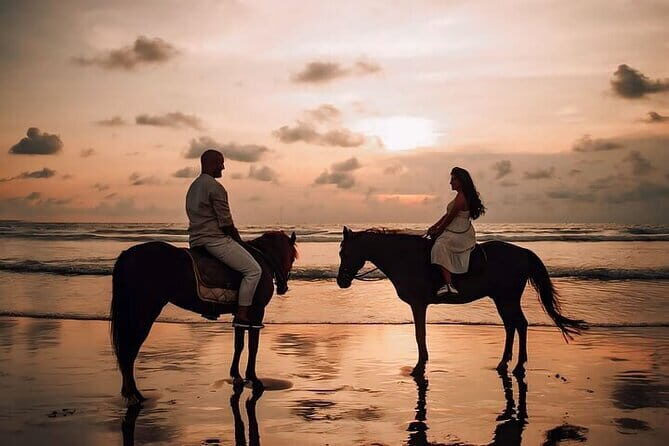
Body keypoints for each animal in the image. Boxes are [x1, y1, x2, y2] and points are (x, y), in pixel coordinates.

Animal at [110, 231, 298, 405]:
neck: (262, 260)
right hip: (144, 313)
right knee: (129, 351)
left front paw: (236, 375)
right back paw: (135, 395)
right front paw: (254, 379)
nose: (283, 288)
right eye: (292, 257)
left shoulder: (240, 316)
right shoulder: (257, 313)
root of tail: (128, 254)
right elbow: (253, 346)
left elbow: (239, 345)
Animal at [336, 227, 587, 376]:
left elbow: (419, 335)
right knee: (512, 325)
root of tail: (523, 252)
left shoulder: (418, 304)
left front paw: (419, 366)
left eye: (344, 253)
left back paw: (517, 365)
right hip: (502, 299)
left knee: (519, 325)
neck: (404, 258)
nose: (341, 281)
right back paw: (504, 363)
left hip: (507, 298)